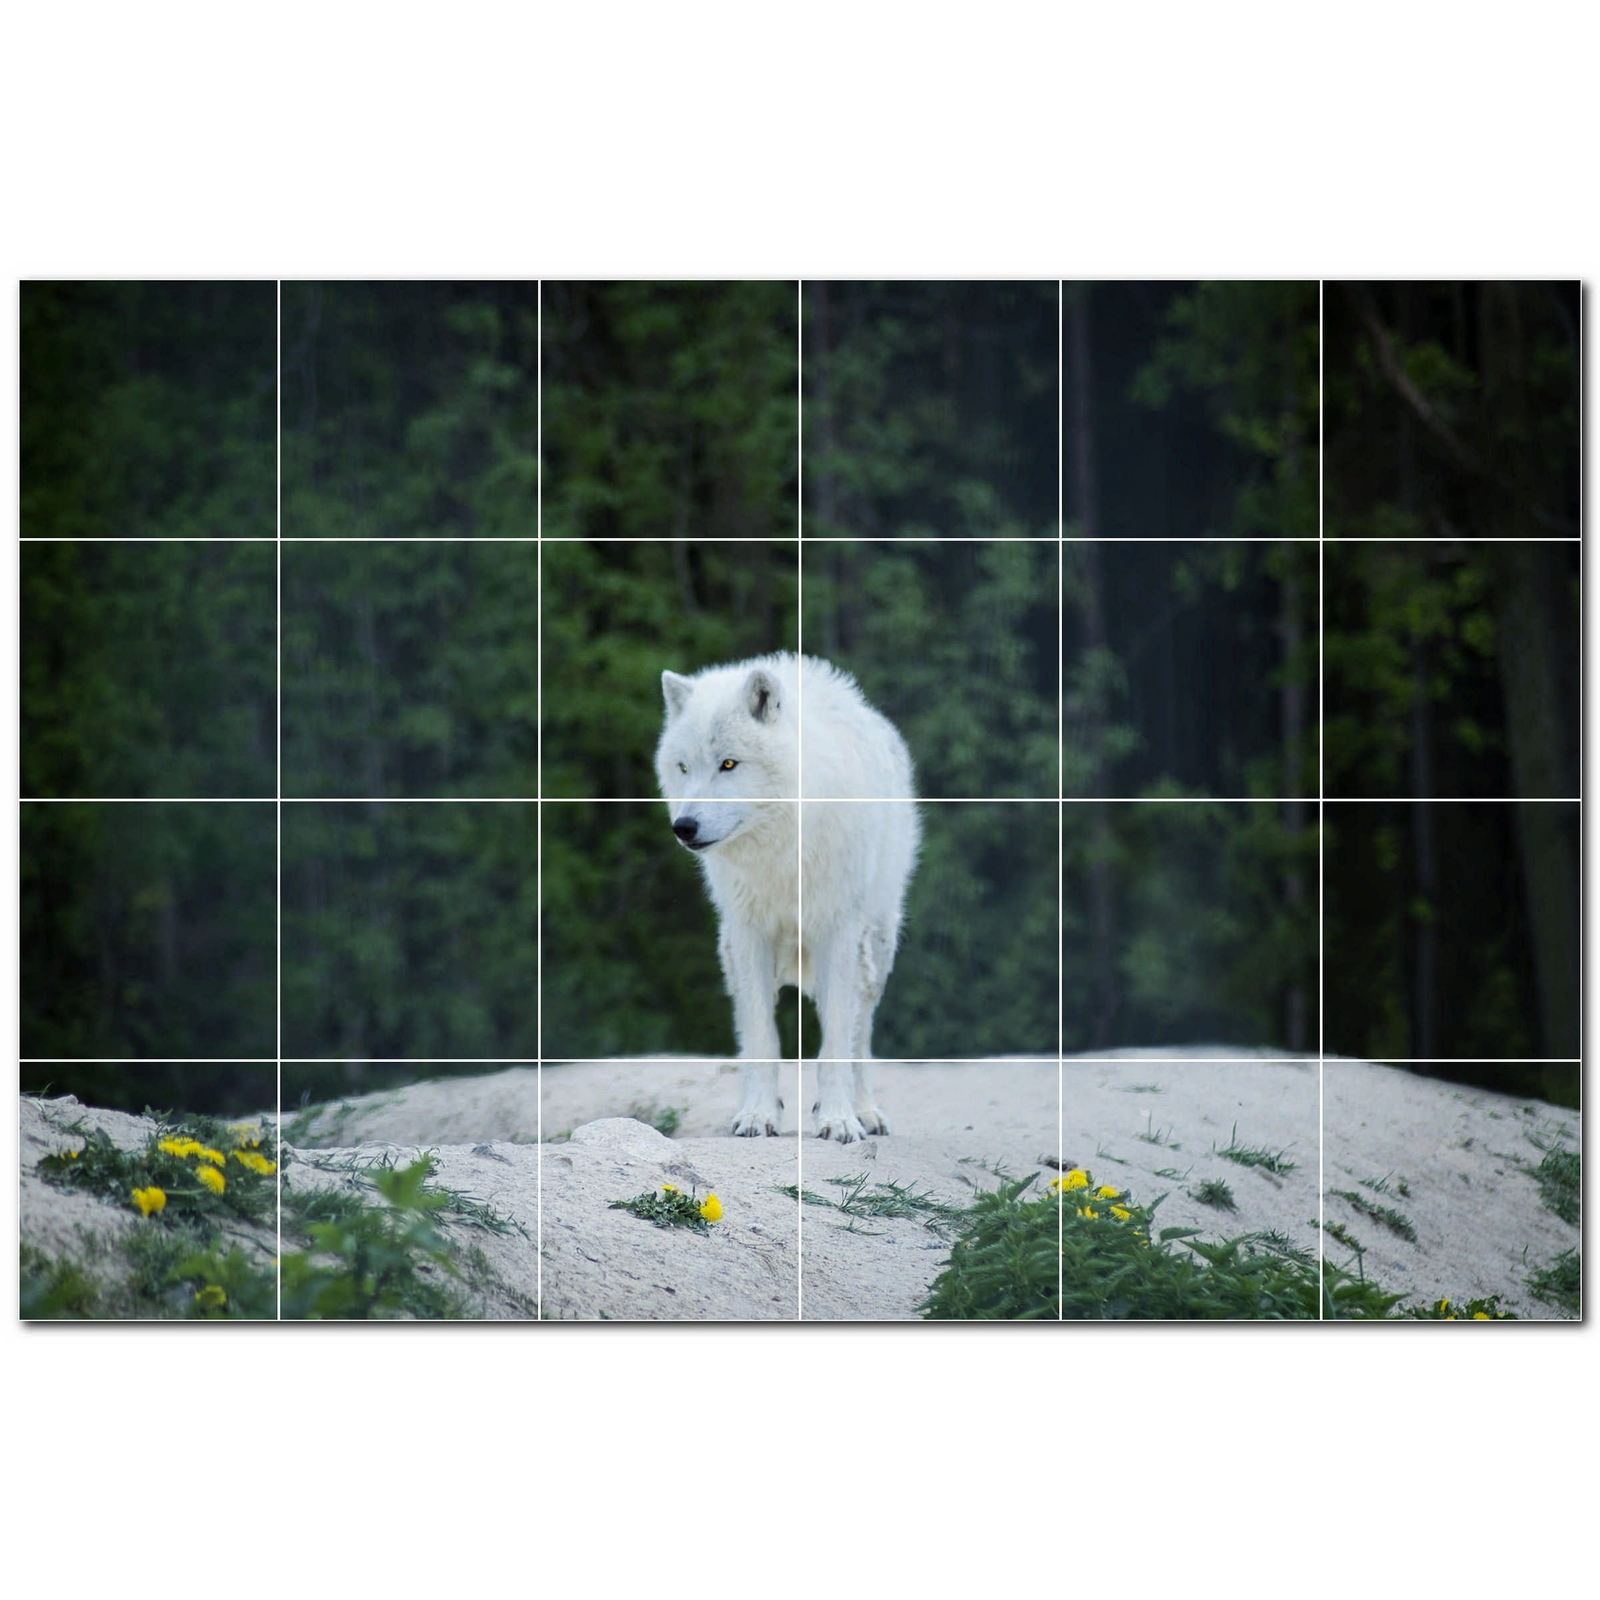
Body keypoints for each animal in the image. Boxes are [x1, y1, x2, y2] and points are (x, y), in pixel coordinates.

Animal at [655, 652, 920, 1143]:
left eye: (728, 764)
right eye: (683, 768)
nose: (683, 827)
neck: (780, 847)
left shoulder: (838, 931)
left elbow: (835, 1043)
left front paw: (838, 1119)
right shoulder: (749, 933)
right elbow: (762, 1037)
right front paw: (758, 1115)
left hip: (875, 948)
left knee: (860, 1036)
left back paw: (866, 1112)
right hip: (731, 953)